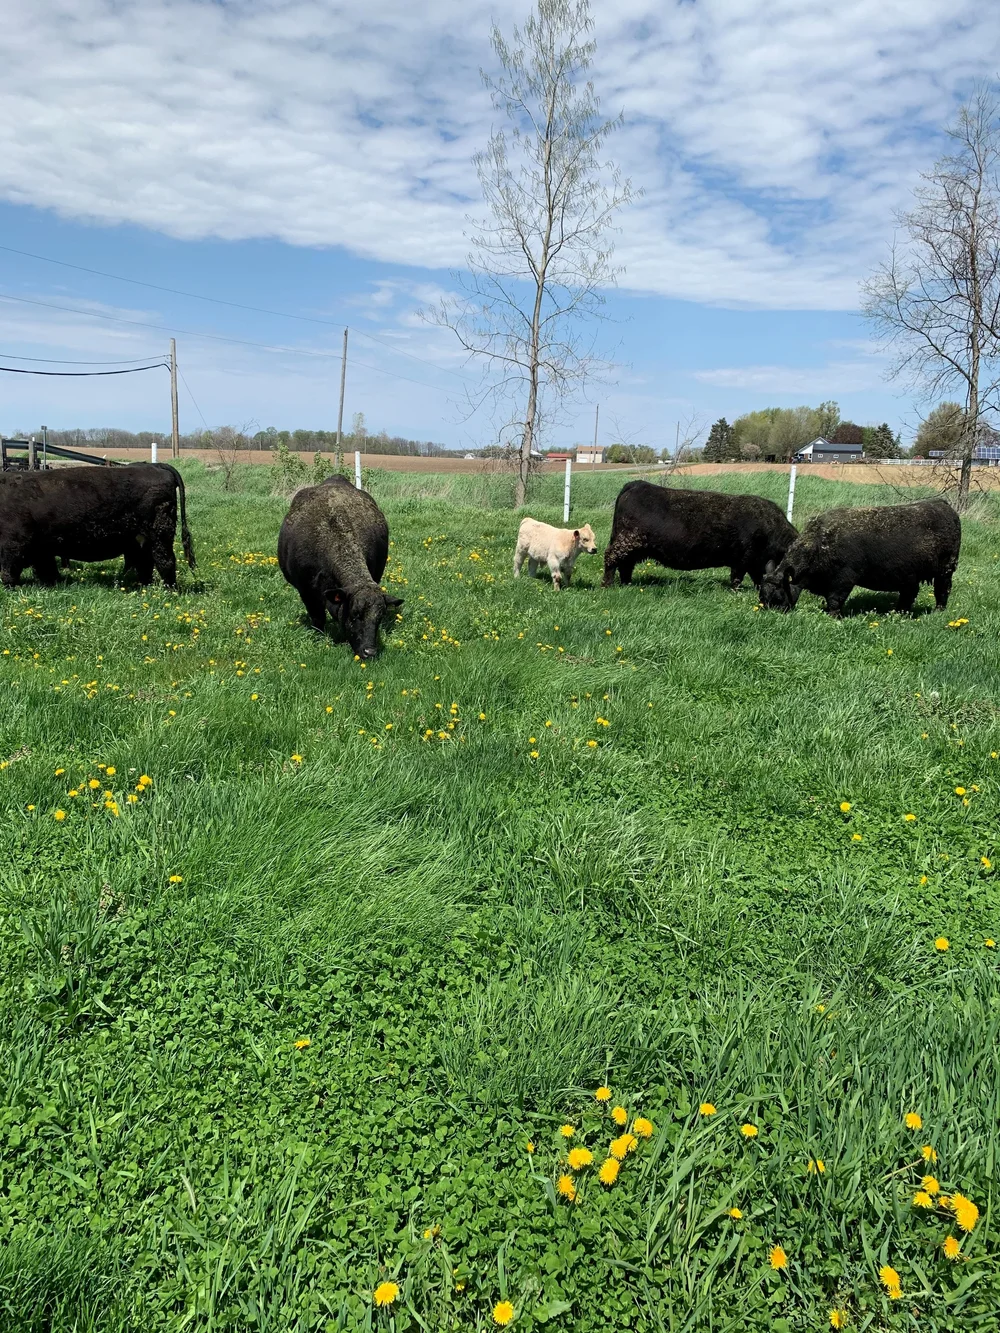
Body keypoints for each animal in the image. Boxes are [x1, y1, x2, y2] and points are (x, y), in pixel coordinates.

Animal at [0, 463, 195, 589]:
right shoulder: (41, 548)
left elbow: (9, 569)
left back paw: (168, 590)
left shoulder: (13, 544)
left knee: (165, 561)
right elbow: (45, 568)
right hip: (141, 540)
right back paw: (144, 587)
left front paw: (9, 587)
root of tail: (156, 466)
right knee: (145, 564)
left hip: (160, 535)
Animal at [602, 480, 797, 591]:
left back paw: (627, 584)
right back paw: (607, 585)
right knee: (611, 558)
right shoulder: (743, 559)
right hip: (626, 541)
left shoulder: (755, 562)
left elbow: (757, 577)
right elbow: (737, 578)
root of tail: (637, 484)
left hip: (634, 547)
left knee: (626, 565)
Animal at [759, 497, 961, 617]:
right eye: (762, 596)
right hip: (909, 576)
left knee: (942, 591)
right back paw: (898, 613)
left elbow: (835, 600)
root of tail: (941, 503)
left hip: (945, 571)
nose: (768, 615)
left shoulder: (844, 580)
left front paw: (833, 617)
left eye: (778, 596)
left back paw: (938, 611)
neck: (820, 543)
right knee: (908, 595)